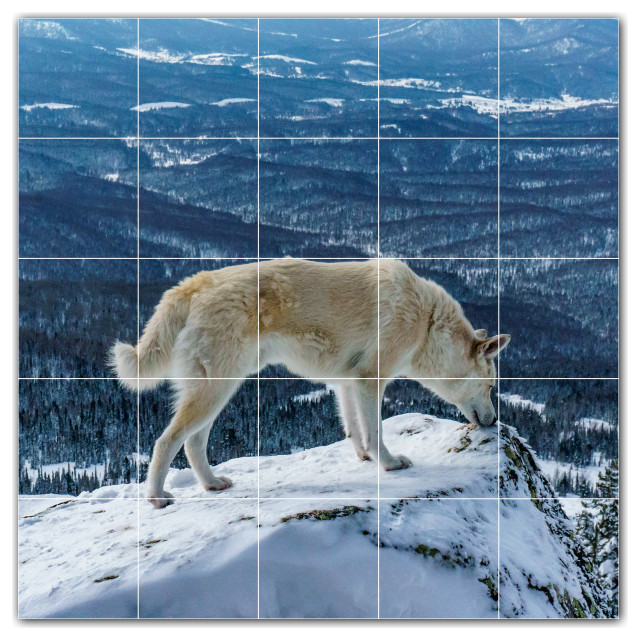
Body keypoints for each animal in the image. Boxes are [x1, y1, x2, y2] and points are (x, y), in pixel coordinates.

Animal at [111, 259, 510, 508]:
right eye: (491, 386)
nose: (494, 421)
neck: (427, 322)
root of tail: (195, 284)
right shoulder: (370, 381)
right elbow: (375, 433)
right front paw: (388, 464)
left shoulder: (348, 383)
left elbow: (355, 431)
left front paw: (364, 458)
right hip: (215, 391)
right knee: (166, 442)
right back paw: (157, 497)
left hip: (220, 390)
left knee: (193, 443)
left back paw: (211, 483)